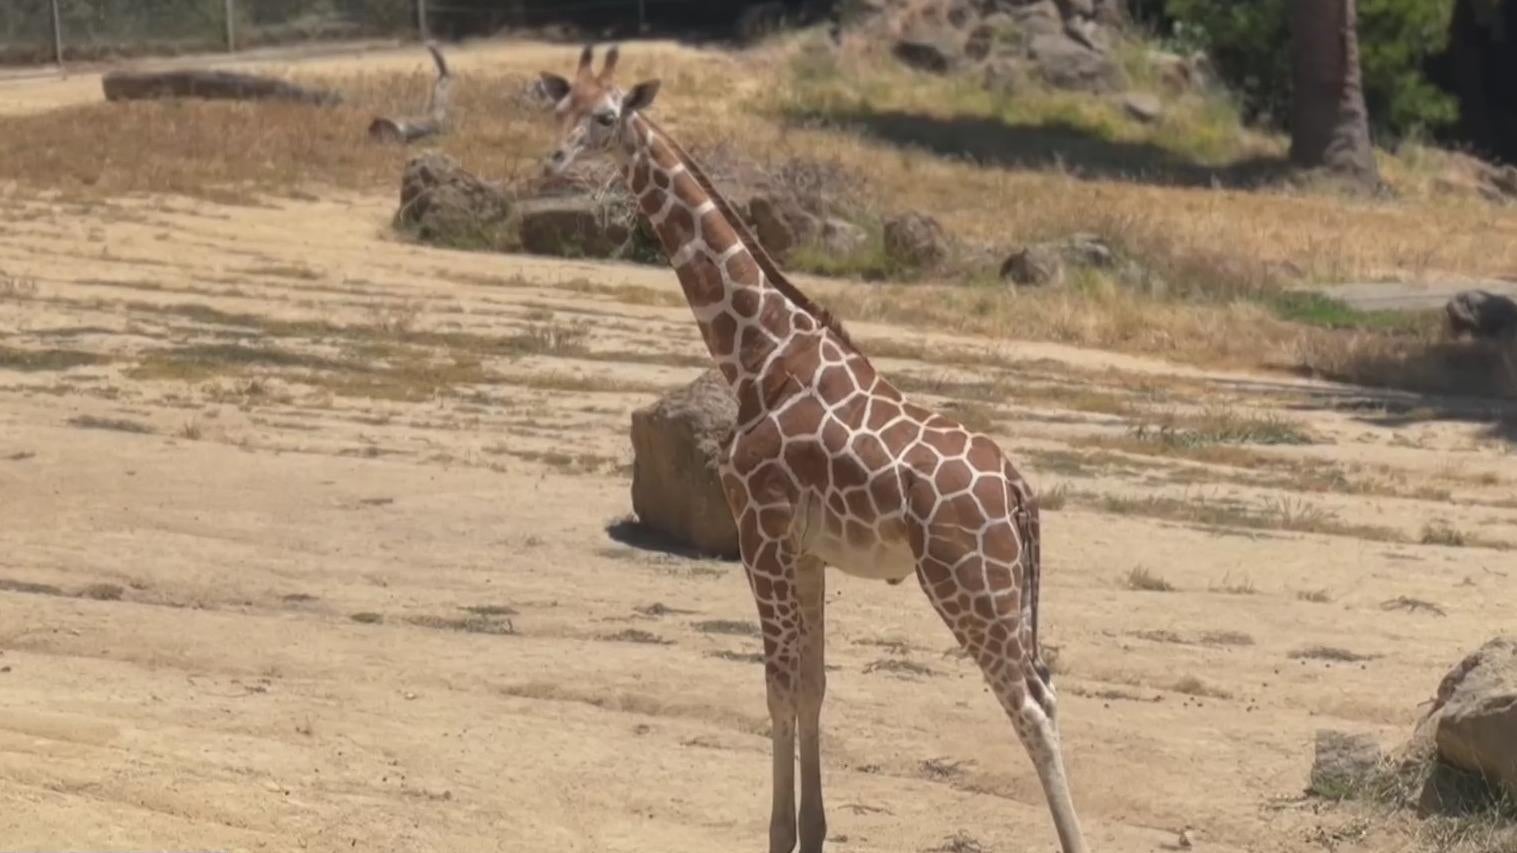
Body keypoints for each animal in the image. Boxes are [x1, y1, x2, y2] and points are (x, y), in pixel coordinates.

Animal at [536, 45, 1090, 853]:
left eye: (606, 117)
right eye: (560, 107)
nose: (554, 159)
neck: (760, 354)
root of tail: (1019, 492)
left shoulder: (758, 530)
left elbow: (775, 685)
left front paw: (779, 834)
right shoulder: (806, 550)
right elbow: (813, 685)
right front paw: (813, 830)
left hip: (968, 584)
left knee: (1031, 705)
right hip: (1004, 591)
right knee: (1047, 686)